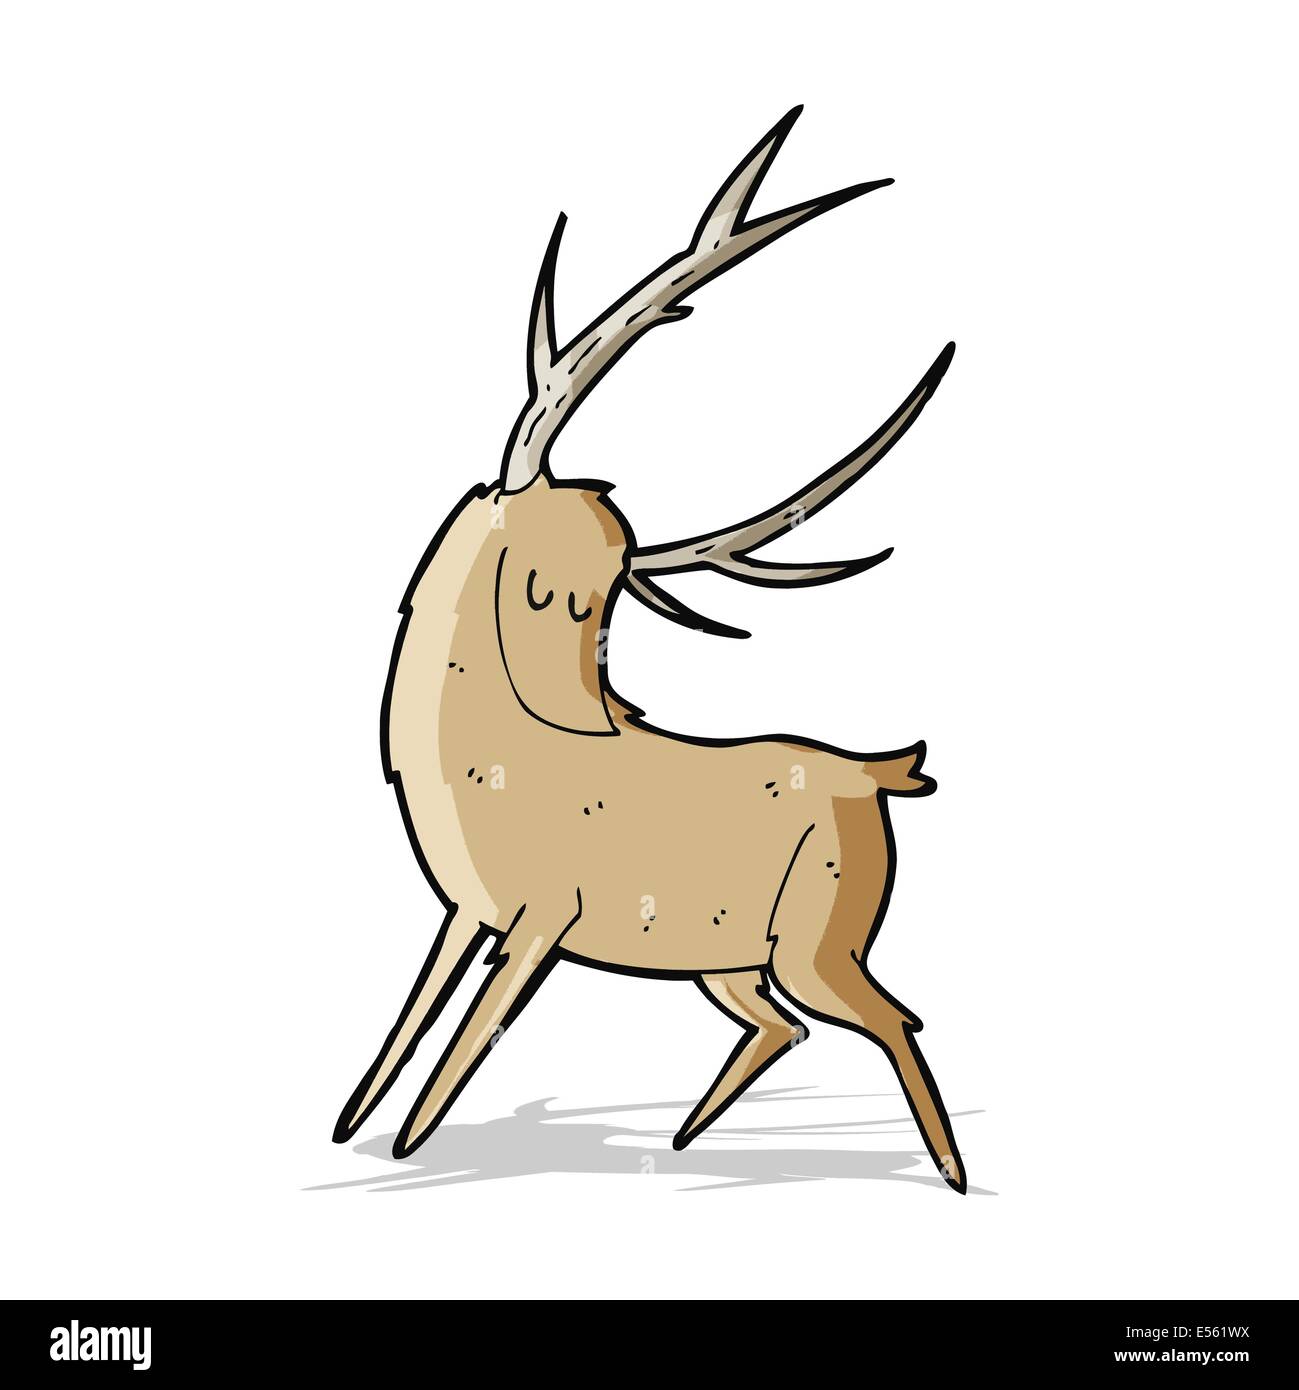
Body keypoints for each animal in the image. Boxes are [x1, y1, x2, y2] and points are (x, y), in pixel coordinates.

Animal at [332, 107, 966, 1192]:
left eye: (599, 601)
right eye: (555, 588)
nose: (598, 714)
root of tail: (880, 771)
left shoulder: (543, 916)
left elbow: (473, 1035)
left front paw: (411, 1147)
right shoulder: (463, 911)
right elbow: (410, 1021)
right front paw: (350, 1123)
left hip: (819, 938)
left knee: (890, 1018)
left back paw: (953, 1173)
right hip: (728, 957)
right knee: (782, 1028)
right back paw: (682, 1141)